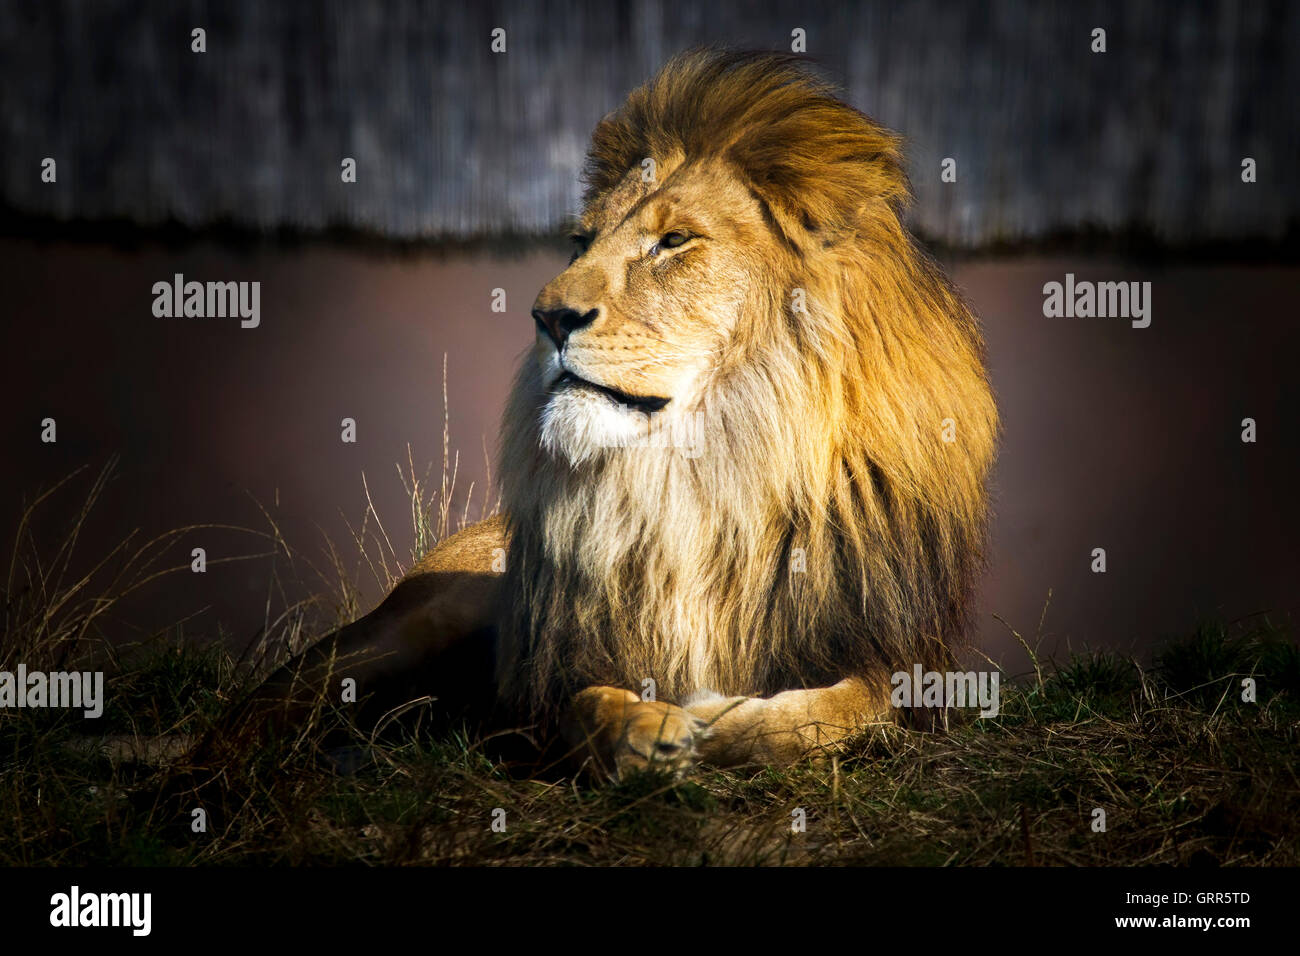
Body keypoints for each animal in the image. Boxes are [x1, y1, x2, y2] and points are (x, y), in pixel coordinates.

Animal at [236, 49, 998, 781]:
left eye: (675, 241)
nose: (548, 316)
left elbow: (832, 712)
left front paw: (713, 720)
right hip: (422, 614)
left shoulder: (898, 662)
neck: (706, 472)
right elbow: (584, 703)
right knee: (265, 701)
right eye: (581, 243)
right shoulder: (542, 687)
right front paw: (647, 732)